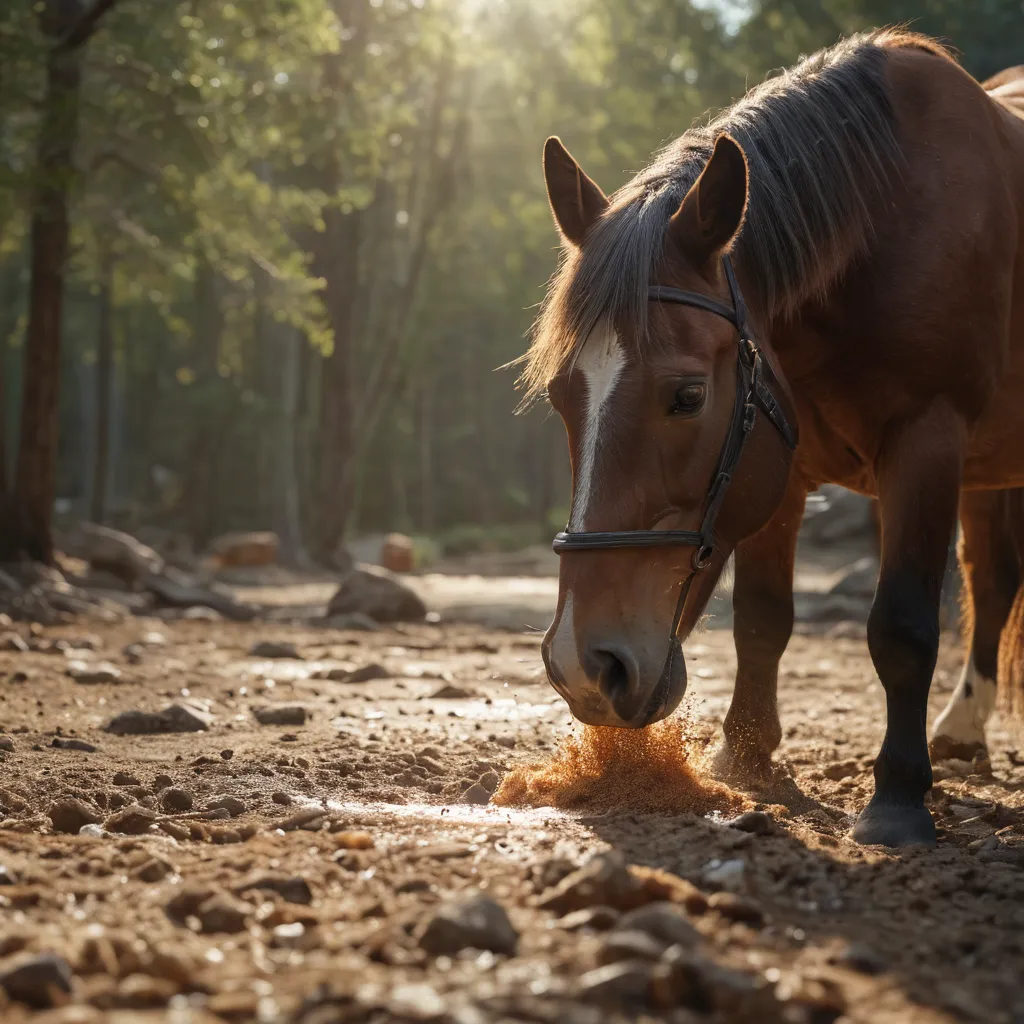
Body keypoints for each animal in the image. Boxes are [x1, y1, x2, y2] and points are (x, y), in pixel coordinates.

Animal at [524, 30, 1024, 848]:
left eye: (688, 396)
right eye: (563, 399)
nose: (583, 667)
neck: (886, 222)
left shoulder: (927, 442)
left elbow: (902, 626)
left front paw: (897, 798)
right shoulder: (778, 469)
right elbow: (762, 622)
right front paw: (747, 760)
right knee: (993, 580)